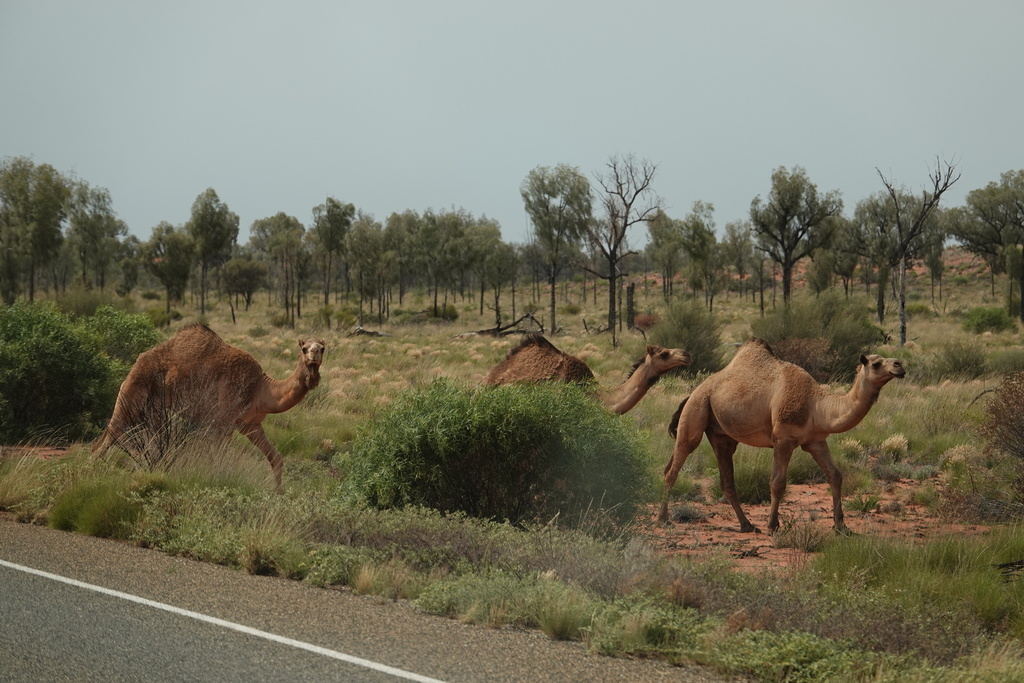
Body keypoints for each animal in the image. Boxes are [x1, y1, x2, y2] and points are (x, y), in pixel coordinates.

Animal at [93, 323, 325, 492]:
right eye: (304, 348)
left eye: (323, 348)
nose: (314, 355)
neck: (261, 387)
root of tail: (134, 364)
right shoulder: (224, 422)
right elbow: (218, 459)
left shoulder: (250, 424)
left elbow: (276, 458)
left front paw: (279, 494)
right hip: (132, 395)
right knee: (109, 437)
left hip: (152, 408)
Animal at [657, 338, 904, 533]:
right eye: (876, 363)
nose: (899, 365)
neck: (817, 405)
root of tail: (694, 392)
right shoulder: (783, 439)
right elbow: (777, 482)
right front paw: (773, 525)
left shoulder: (816, 441)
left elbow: (835, 475)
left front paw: (841, 526)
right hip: (696, 412)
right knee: (674, 466)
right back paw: (663, 519)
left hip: (722, 435)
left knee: (727, 480)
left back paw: (747, 525)